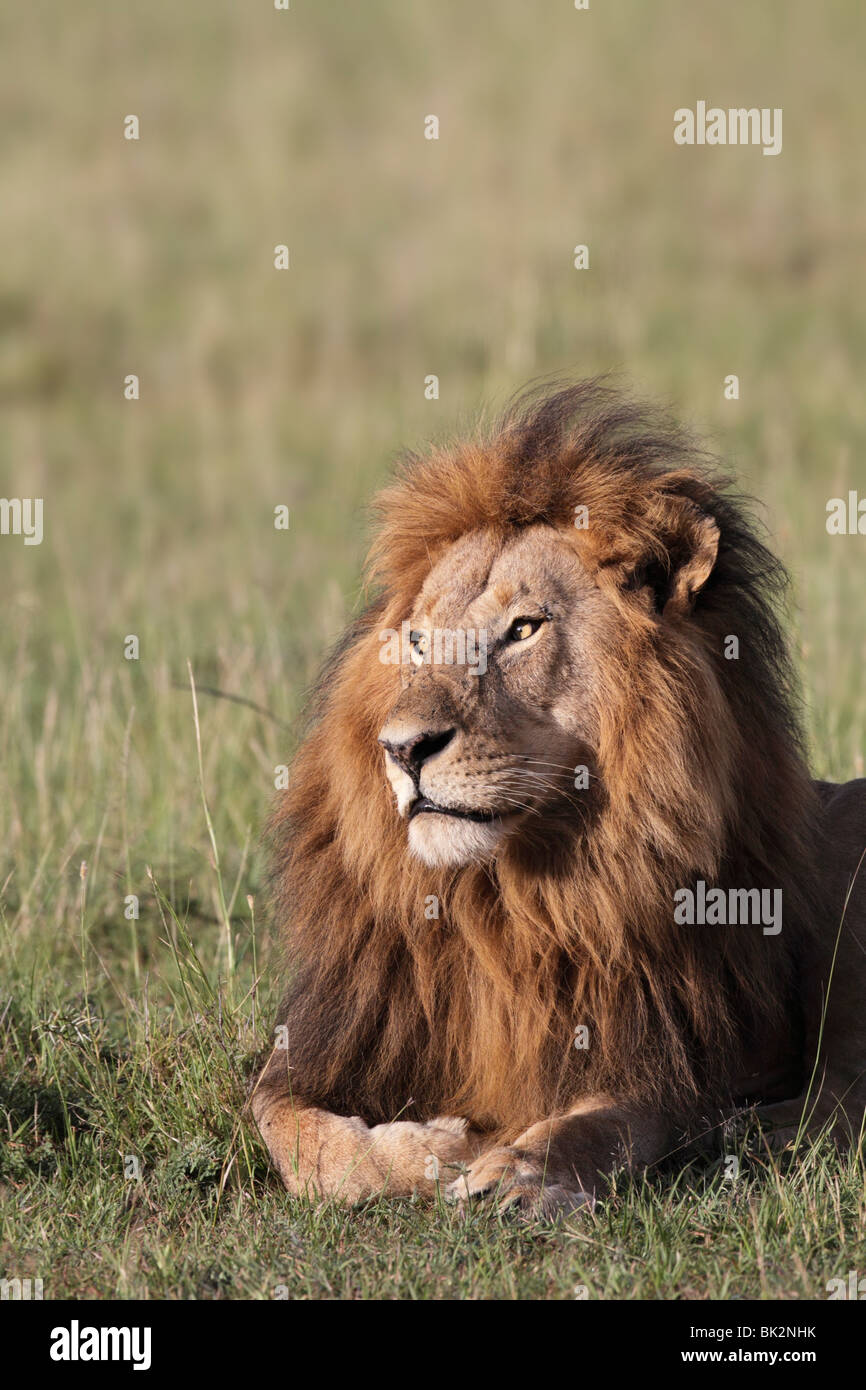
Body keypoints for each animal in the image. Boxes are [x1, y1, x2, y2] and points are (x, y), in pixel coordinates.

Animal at [252, 381, 866, 1214]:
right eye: (417, 640)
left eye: (522, 629)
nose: (403, 750)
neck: (504, 903)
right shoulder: (332, 1034)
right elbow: (289, 1130)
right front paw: (439, 1148)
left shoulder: (671, 1049)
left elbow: (613, 1119)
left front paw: (518, 1170)